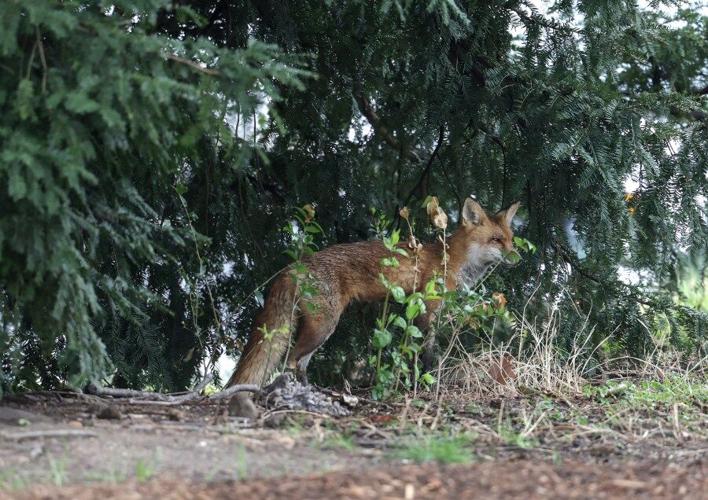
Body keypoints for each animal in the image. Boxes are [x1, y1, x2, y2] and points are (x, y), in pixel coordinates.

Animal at [227, 197, 520, 388]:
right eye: (496, 240)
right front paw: (421, 384)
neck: (452, 260)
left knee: (299, 363)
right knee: (290, 360)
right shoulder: (426, 309)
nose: (517, 258)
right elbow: (423, 355)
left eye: (510, 240)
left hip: (318, 330)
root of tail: (291, 267)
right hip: (323, 327)